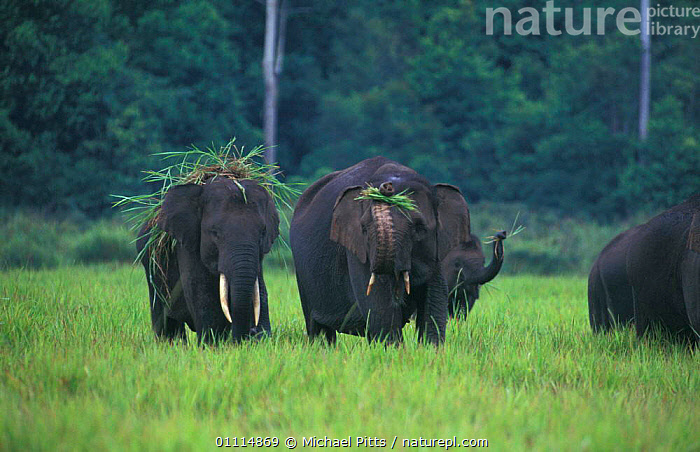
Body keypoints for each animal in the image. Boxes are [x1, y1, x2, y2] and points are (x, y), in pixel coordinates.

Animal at [136, 178, 279, 344]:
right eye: (215, 233)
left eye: (262, 232)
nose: (251, 332)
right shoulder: (187, 244)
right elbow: (202, 296)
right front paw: (211, 345)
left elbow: (259, 291)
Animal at [289, 156, 506, 345]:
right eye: (364, 228)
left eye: (419, 228)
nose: (501, 233)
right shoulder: (358, 250)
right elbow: (379, 305)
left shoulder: (436, 252)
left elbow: (434, 300)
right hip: (303, 275)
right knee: (318, 328)